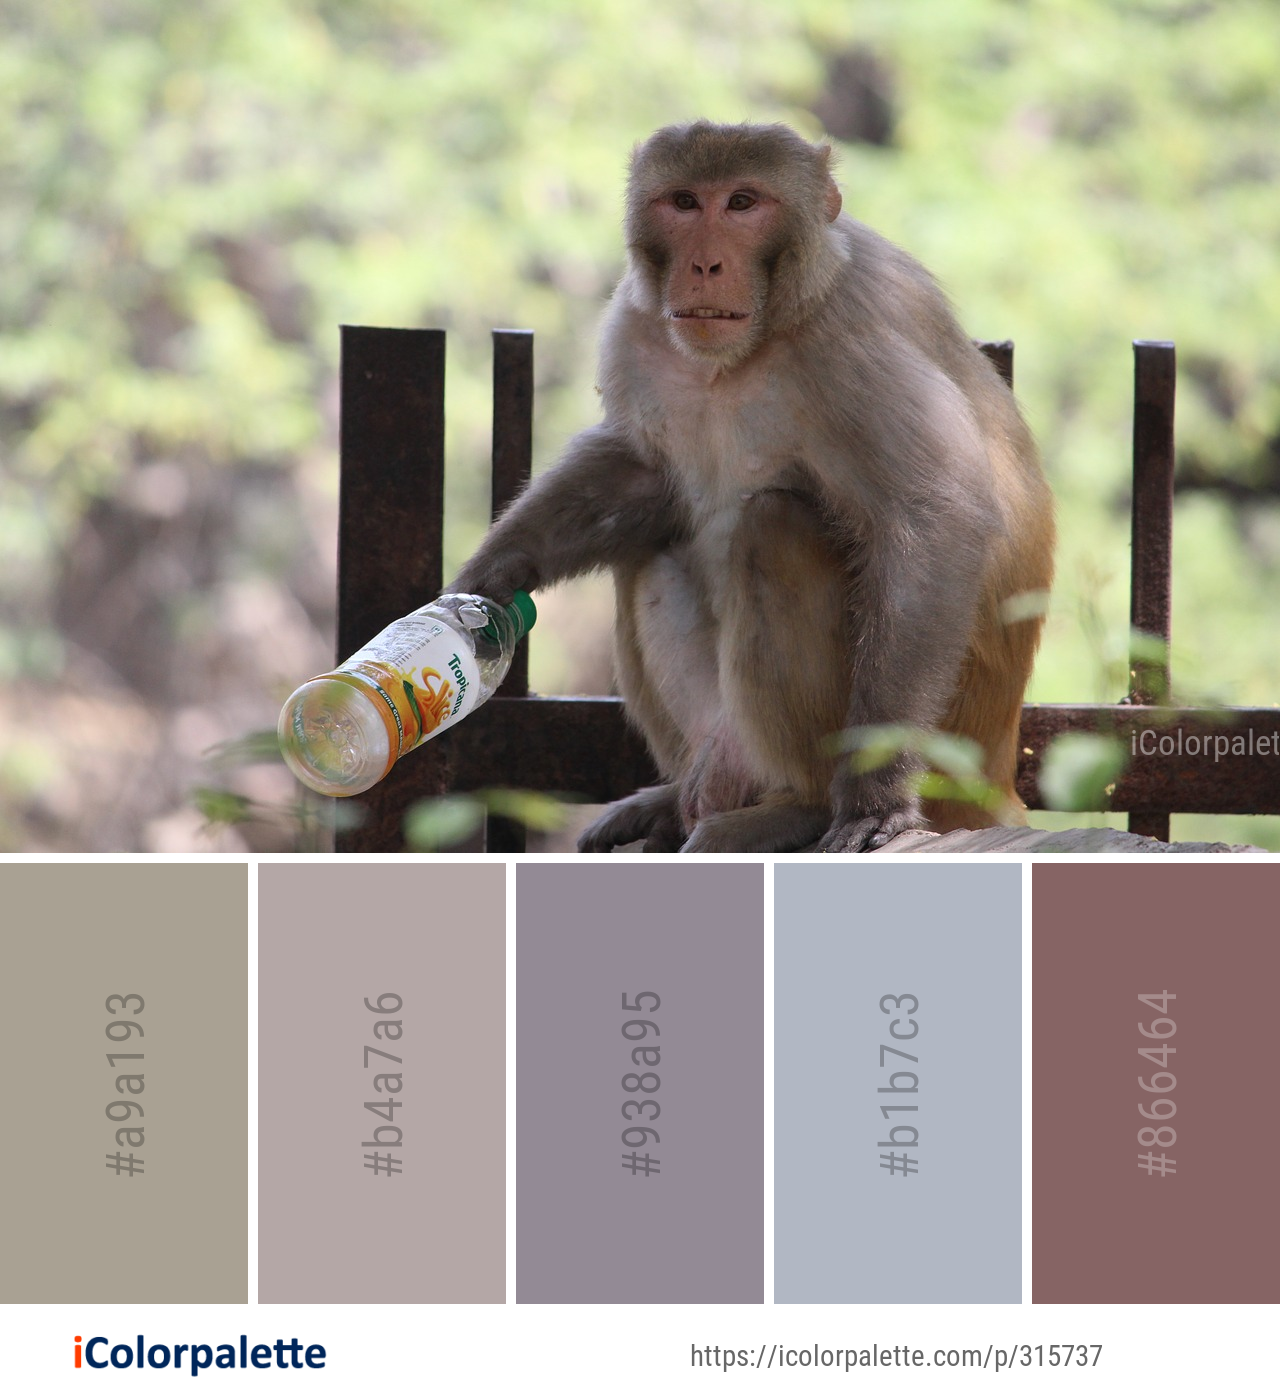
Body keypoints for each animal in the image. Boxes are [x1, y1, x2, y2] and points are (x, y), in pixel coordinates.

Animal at [453, 120, 1055, 853]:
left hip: (948, 761)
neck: (749, 348)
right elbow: (639, 470)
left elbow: (935, 517)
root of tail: (996, 779)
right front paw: (495, 575)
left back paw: (801, 807)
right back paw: (673, 800)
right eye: (685, 202)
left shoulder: (855, 344)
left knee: (773, 525)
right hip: (726, 743)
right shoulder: (634, 326)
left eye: (743, 203)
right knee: (648, 548)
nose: (706, 265)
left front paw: (875, 797)